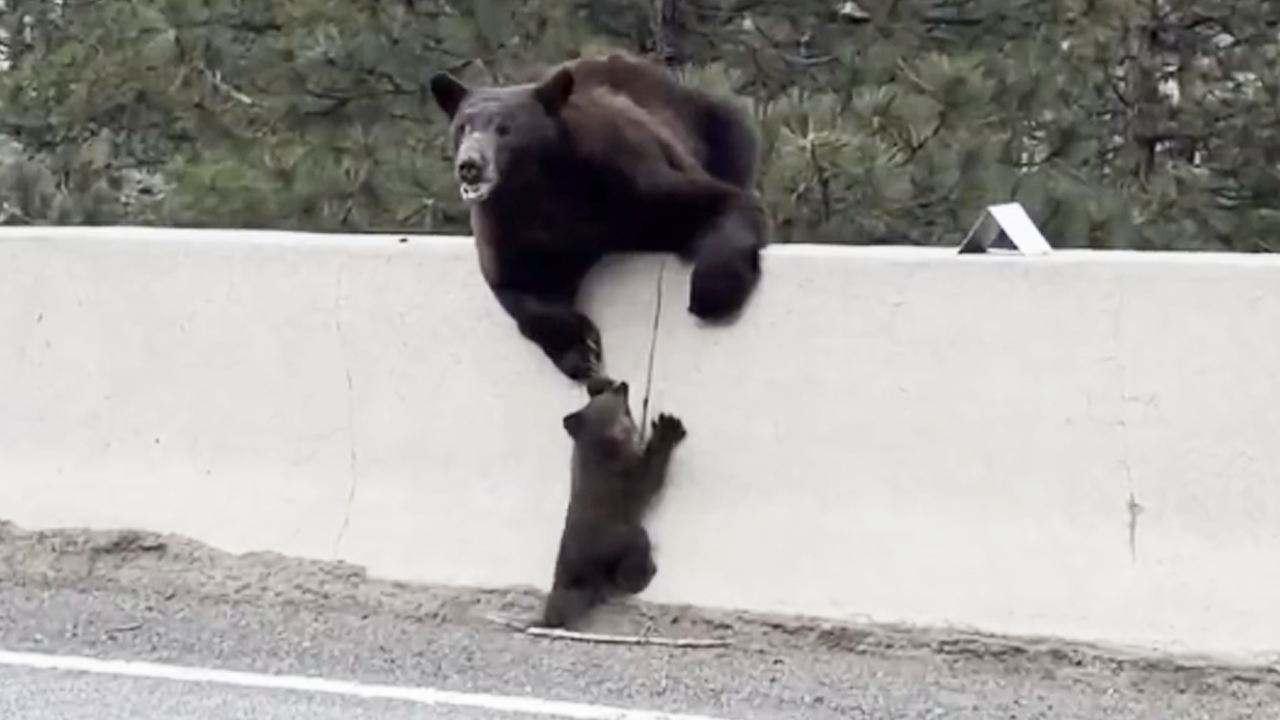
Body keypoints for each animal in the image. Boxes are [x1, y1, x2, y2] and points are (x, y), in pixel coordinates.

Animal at [427, 49, 770, 382]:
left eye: (505, 129)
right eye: (463, 127)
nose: (470, 165)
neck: (540, 187)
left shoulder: (626, 174)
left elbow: (719, 203)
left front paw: (712, 293)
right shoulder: (506, 225)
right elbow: (522, 286)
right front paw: (583, 353)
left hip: (710, 119)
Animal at [539, 376, 687, 629]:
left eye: (611, 390)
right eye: (620, 399)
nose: (621, 383)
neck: (598, 446)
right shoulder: (636, 478)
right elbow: (653, 469)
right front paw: (667, 429)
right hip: (635, 535)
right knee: (628, 579)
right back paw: (648, 571)